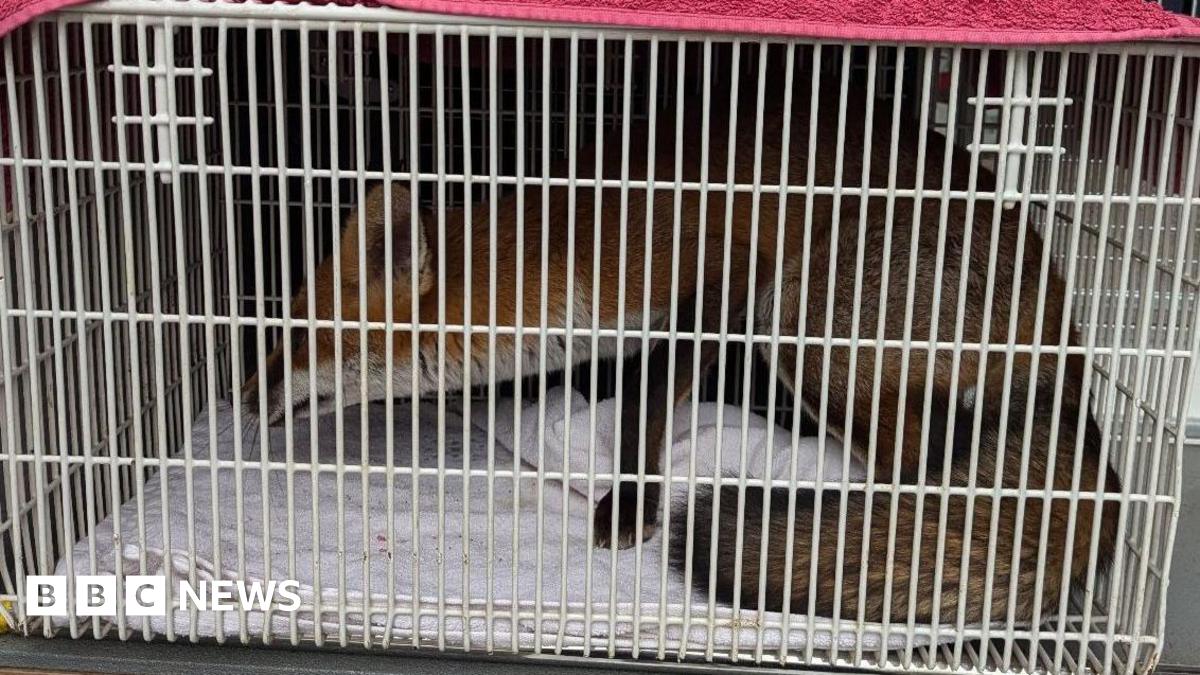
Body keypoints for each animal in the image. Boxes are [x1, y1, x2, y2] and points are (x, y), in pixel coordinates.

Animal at [243, 77, 1119, 624]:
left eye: (287, 343)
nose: (242, 399)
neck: (553, 253)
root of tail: (1062, 313)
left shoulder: (723, 267)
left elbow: (647, 392)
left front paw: (631, 499)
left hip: (800, 314)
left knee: (922, 469)